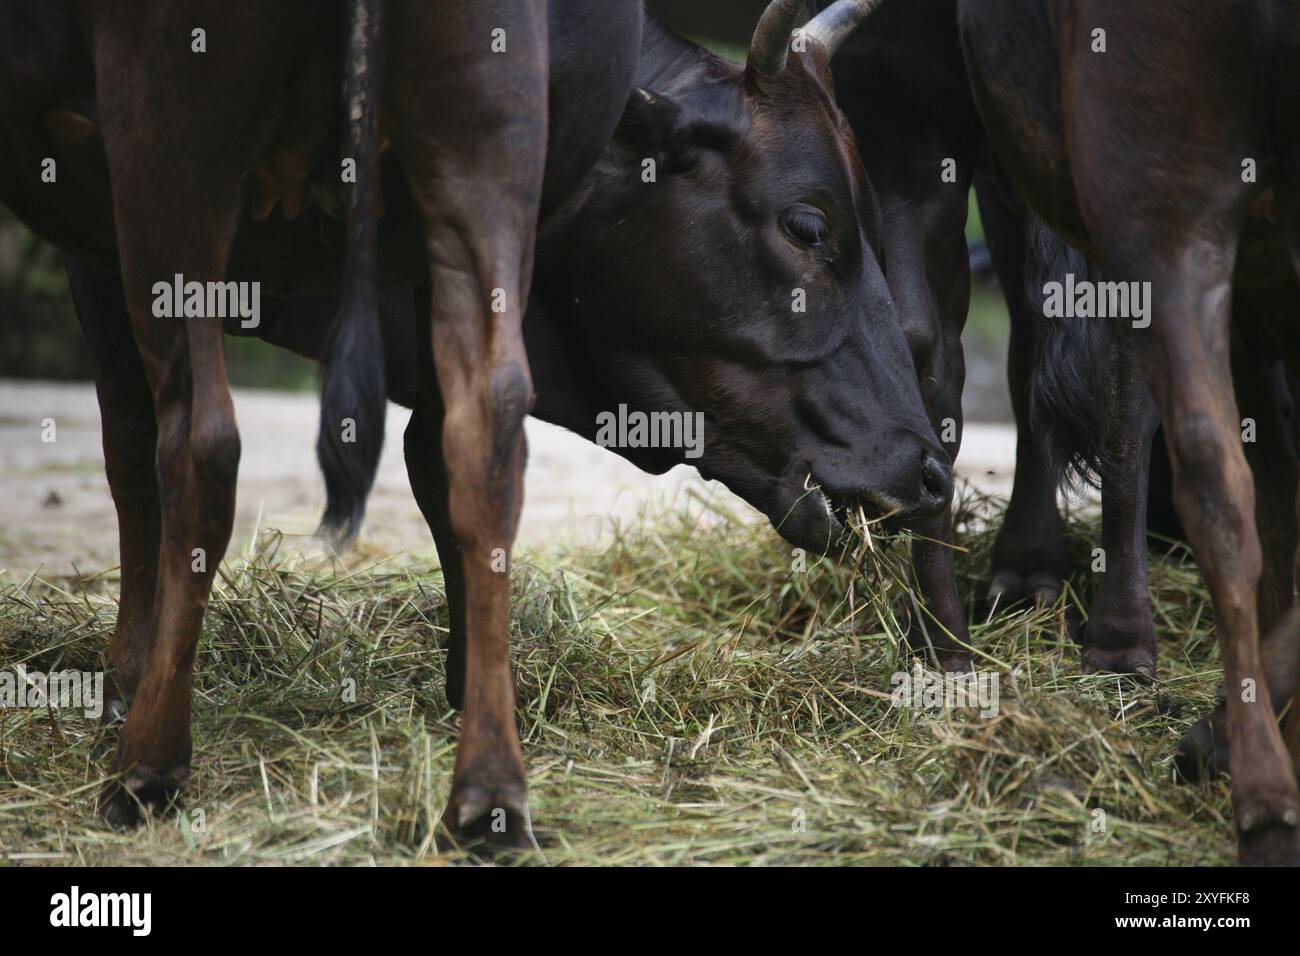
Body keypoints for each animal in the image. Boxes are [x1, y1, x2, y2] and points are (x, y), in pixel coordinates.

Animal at [1, 0, 946, 848]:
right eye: (809, 226)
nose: (929, 470)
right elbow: (432, 464)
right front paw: (472, 684)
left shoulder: (102, 247)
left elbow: (135, 459)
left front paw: (124, 681)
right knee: (486, 429)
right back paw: (490, 790)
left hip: (175, 147)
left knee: (201, 444)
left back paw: (149, 764)